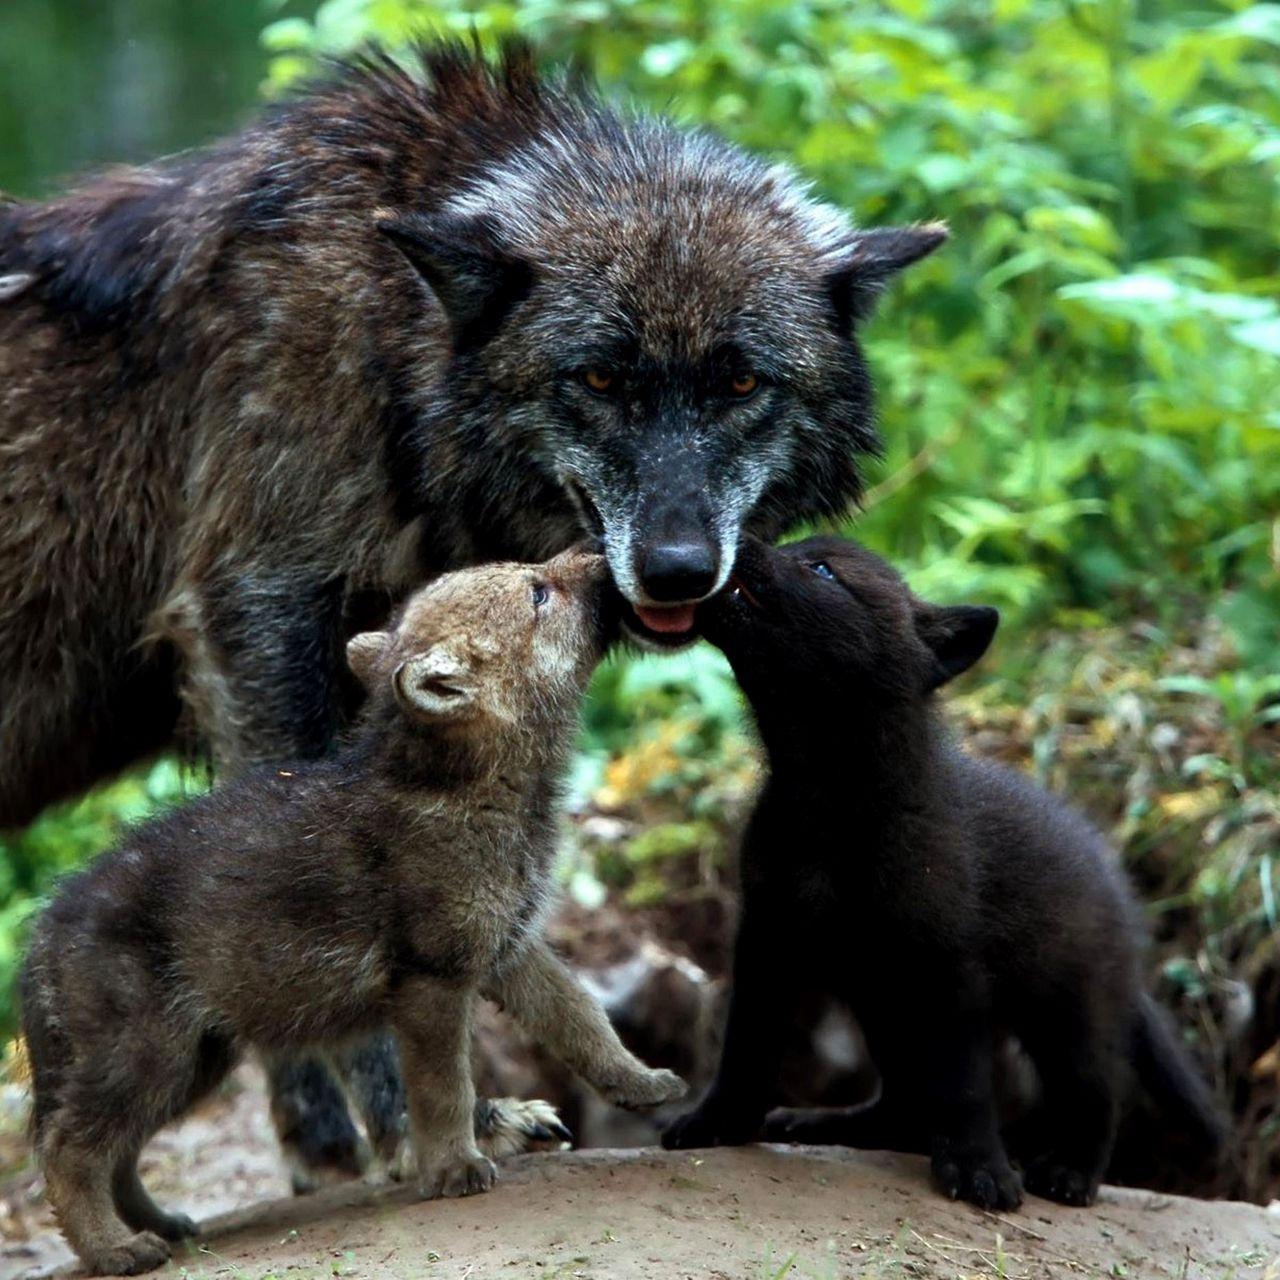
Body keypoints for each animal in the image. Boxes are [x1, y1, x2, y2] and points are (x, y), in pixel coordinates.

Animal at [0, 42, 943, 1181]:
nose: (678, 571)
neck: (385, 333)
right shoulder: (255, 619)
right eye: (598, 378)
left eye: (738, 382)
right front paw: (412, 1126)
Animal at [20, 548, 685, 1275]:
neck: (474, 791)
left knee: (116, 1152)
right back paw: (116, 1250)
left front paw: (642, 1082)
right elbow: (443, 1085)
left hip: (195, 1058)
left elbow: (582, 1018)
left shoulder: (509, 949)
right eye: (538, 592)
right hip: (147, 1052)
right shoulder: (430, 980)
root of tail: (40, 935)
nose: (597, 555)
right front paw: (455, 1169)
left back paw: (163, 1226)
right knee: (69, 1150)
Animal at [662, 536, 1224, 1209]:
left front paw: (981, 1169)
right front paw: (716, 1123)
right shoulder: (769, 937)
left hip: (1071, 1008)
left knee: (1096, 1092)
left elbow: (965, 1085)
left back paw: (1070, 1173)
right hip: (883, 1002)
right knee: (904, 1103)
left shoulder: (947, 968)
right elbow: (745, 1048)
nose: (737, 539)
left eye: (822, 569)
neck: (829, 800)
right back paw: (823, 1123)